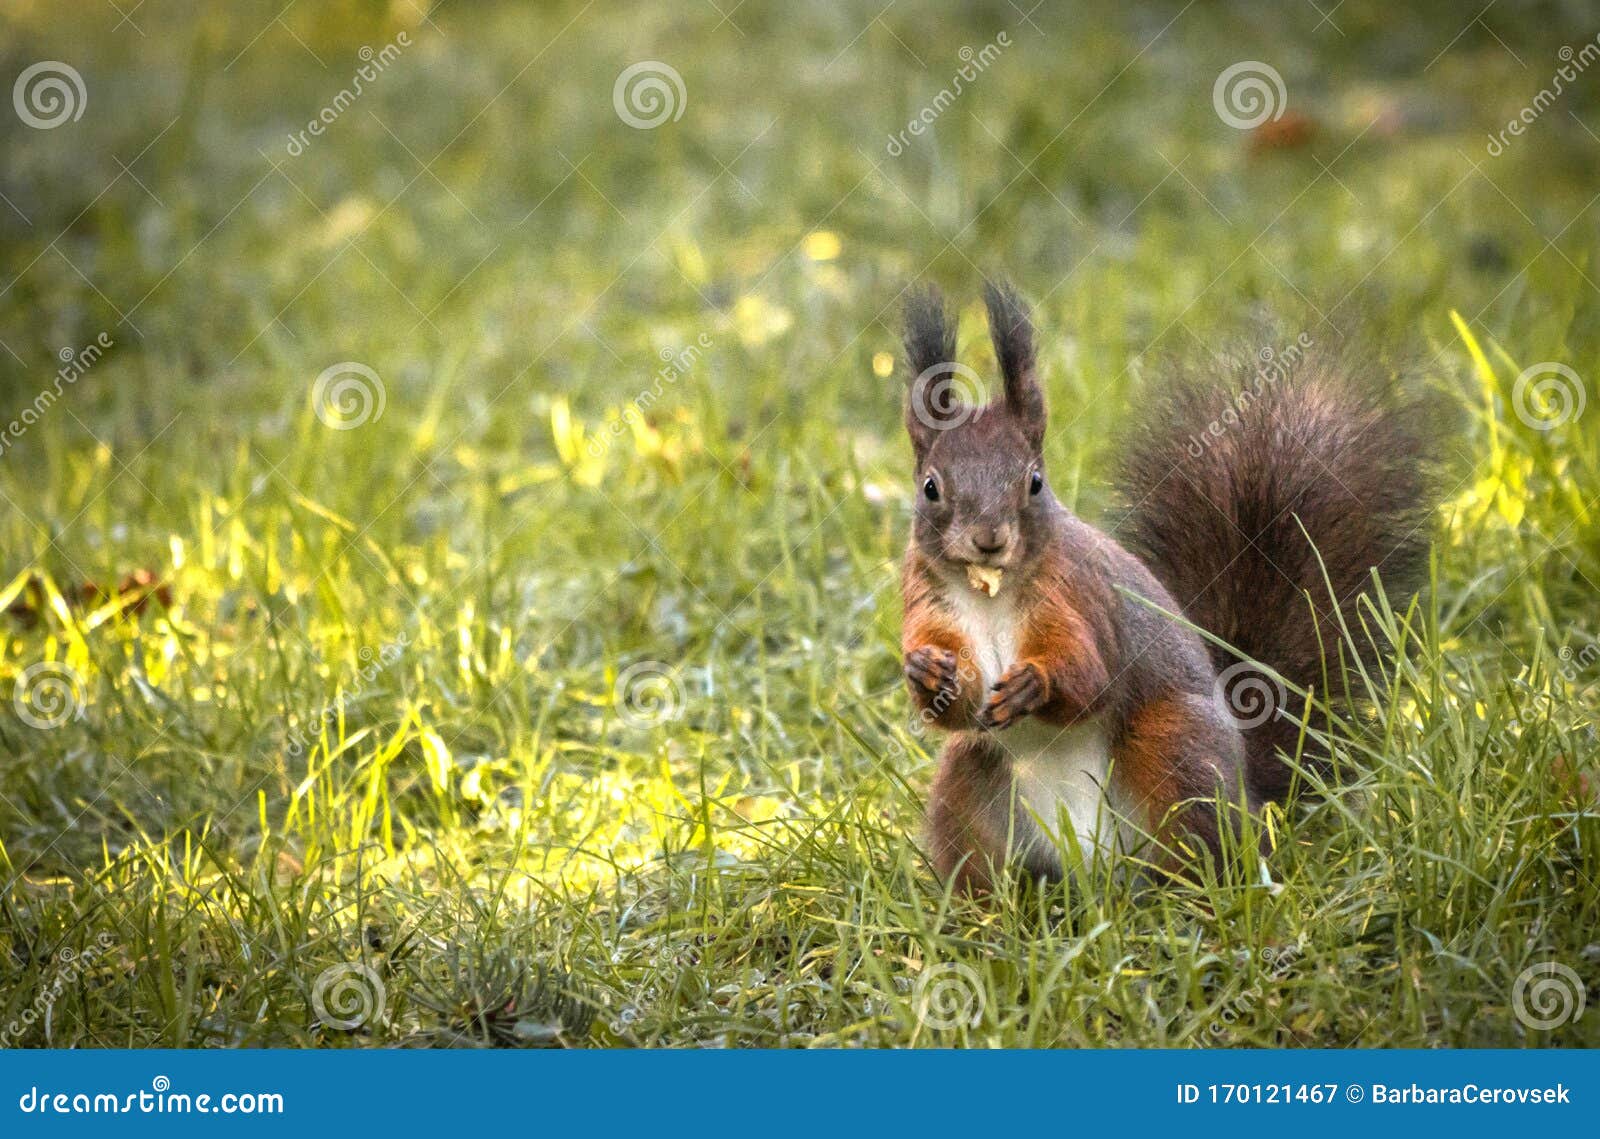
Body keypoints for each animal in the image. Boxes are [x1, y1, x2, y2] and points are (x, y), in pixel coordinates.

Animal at [898, 281, 1432, 893]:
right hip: (969, 784)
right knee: (976, 843)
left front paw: (1036, 683)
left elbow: (1090, 677)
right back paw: (979, 905)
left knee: (1197, 839)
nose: (989, 540)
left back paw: (1186, 891)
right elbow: (952, 708)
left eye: (1034, 481)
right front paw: (927, 670)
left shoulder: (1082, 597)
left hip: (1176, 747)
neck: (988, 592)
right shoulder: (927, 601)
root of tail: (1092, 870)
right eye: (931, 487)